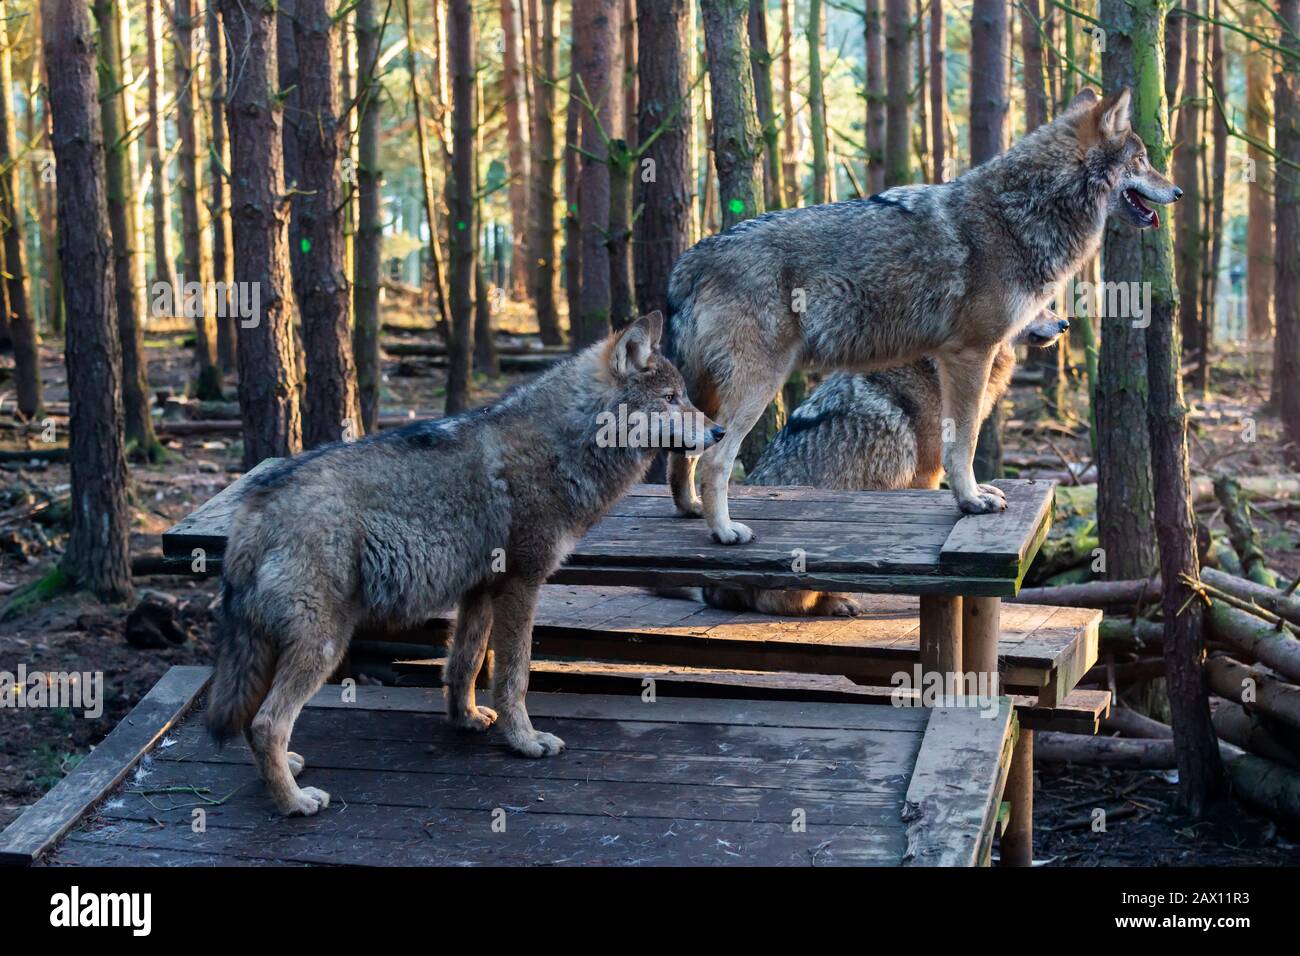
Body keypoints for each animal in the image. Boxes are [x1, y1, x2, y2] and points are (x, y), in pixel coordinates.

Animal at [205, 313, 720, 816]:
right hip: (325, 644)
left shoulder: (480, 590)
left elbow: (465, 663)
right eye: (671, 399)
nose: (718, 432)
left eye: (685, 397)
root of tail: (254, 507)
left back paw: (286, 772)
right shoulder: (522, 586)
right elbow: (514, 676)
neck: (566, 444)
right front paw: (525, 742)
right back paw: (294, 801)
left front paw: (466, 719)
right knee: (267, 722)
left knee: (252, 718)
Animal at [665, 87, 1180, 545]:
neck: (1022, 212)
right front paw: (971, 500)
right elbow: (964, 444)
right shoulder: (970, 355)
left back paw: (690, 511)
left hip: (705, 392)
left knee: (682, 456)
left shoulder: (958, 360)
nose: (1175, 190)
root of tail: (692, 257)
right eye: (1141, 160)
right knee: (715, 461)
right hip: (757, 386)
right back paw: (724, 531)